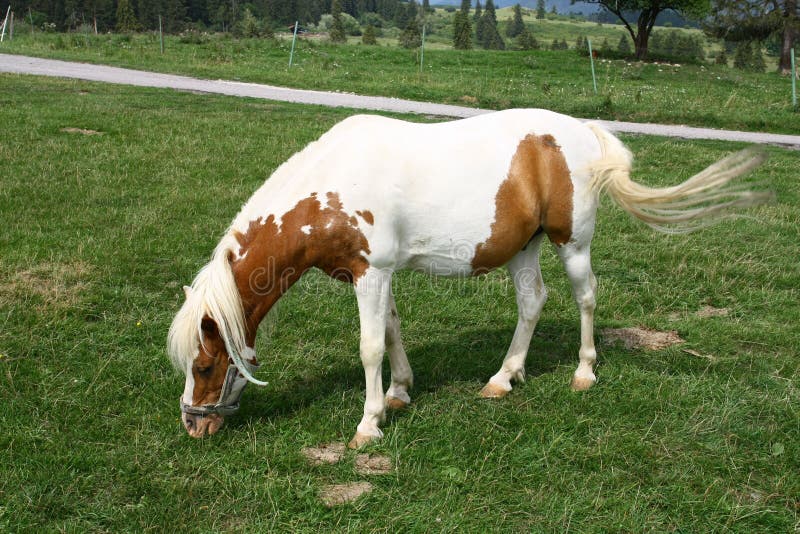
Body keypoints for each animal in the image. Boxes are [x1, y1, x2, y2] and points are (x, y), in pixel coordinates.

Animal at [168, 109, 767, 448]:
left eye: (205, 364)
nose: (193, 425)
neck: (330, 187)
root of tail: (583, 133)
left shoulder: (371, 274)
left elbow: (369, 346)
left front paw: (368, 425)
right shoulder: (380, 277)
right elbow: (392, 332)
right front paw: (399, 394)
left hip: (572, 244)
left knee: (586, 298)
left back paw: (583, 373)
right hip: (523, 248)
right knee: (533, 302)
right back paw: (504, 377)